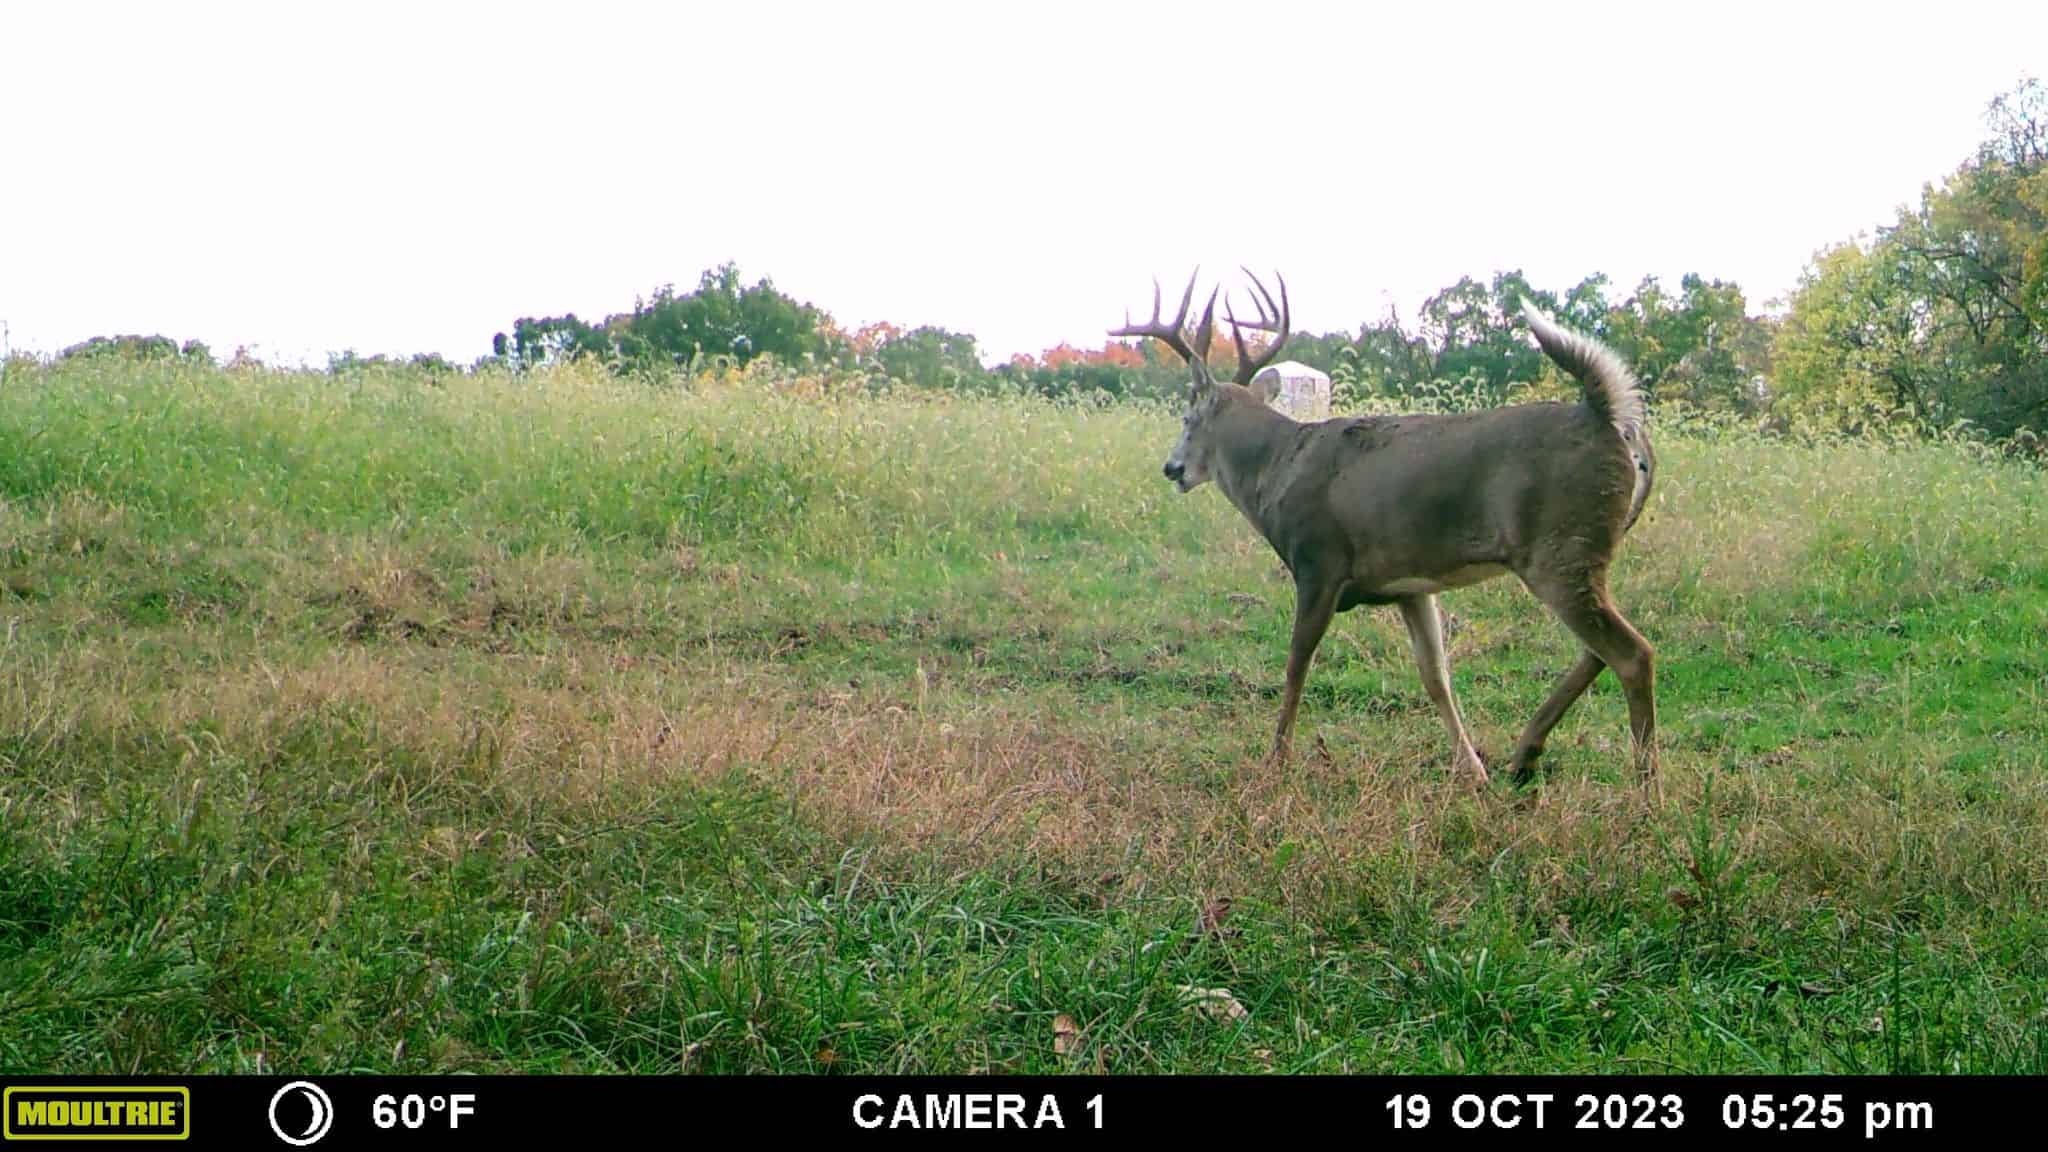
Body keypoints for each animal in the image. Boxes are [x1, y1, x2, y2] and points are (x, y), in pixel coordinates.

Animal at [1113, 269, 1658, 789]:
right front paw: (1473, 771)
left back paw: (1645, 787)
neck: (1277, 468)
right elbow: (1435, 676)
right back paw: (1525, 755)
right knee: (1600, 649)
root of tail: (1608, 418)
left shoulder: (1319, 562)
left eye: (1188, 417)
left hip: (1558, 549)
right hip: (1582, 551)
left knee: (1632, 652)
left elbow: (1296, 664)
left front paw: (1275, 761)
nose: (1172, 468)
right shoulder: (1409, 586)